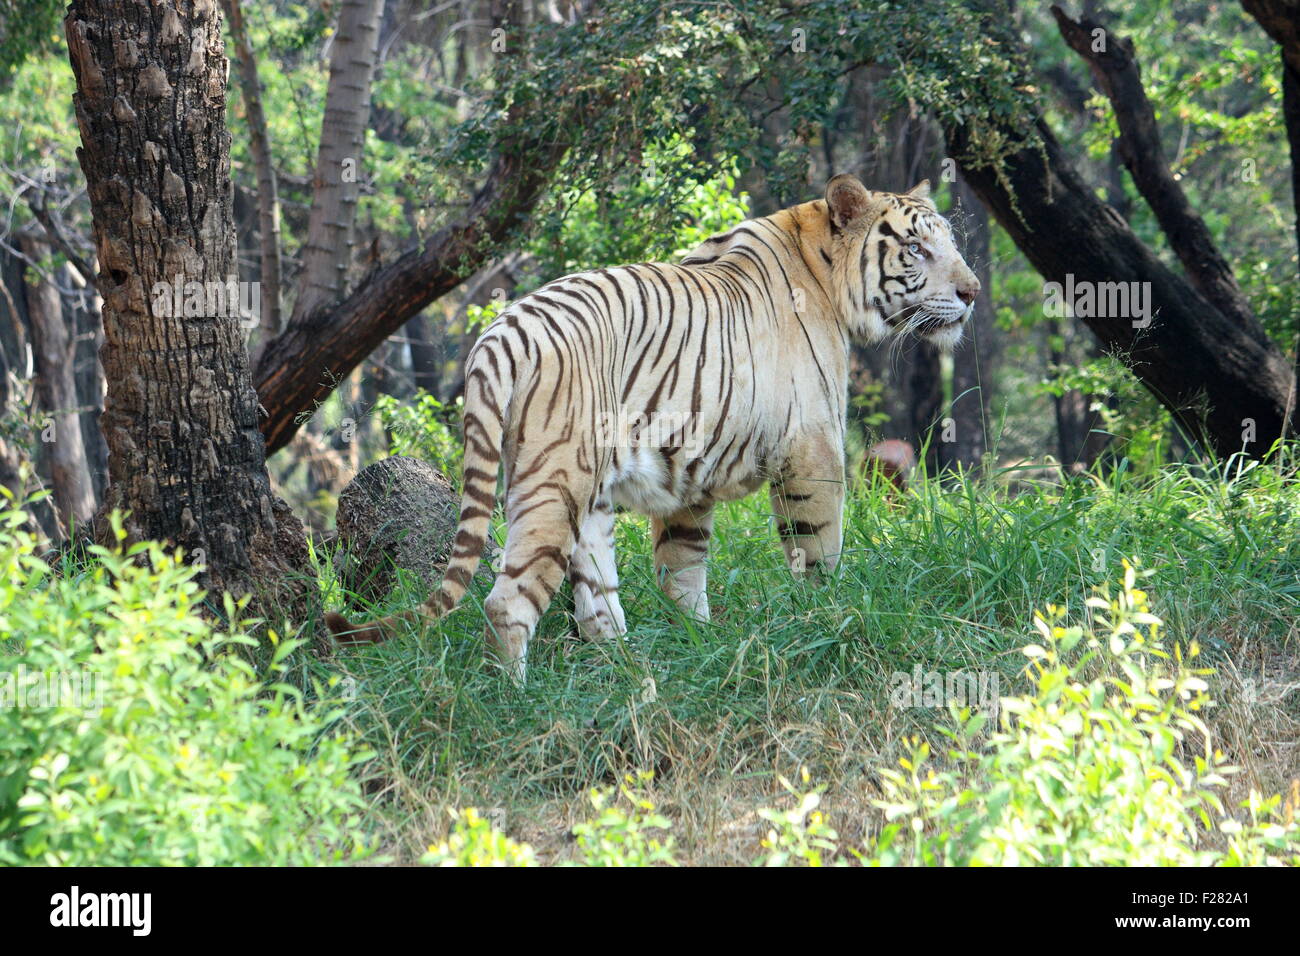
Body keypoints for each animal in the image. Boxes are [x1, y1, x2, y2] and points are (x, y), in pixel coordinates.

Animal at [325, 174, 981, 681]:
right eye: (917, 249)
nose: (972, 292)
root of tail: (502, 332)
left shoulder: (688, 473)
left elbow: (682, 568)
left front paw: (696, 642)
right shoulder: (811, 451)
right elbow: (817, 548)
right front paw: (825, 614)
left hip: (583, 498)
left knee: (596, 604)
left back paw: (628, 677)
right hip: (556, 483)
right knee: (506, 603)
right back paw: (514, 699)